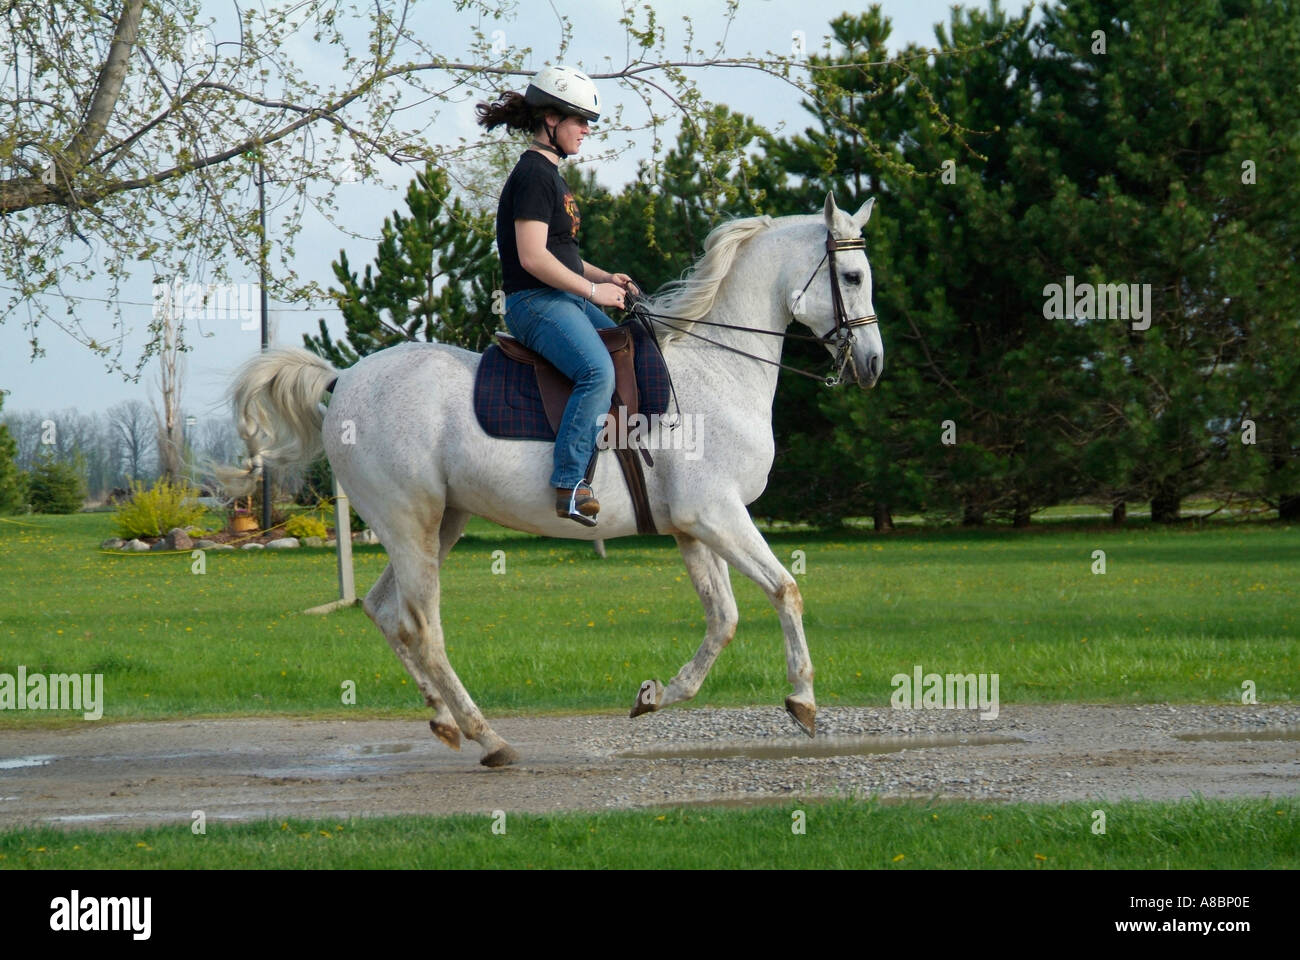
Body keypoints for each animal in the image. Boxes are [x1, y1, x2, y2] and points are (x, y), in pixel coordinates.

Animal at [220, 192, 883, 767]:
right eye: (852, 277)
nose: (873, 365)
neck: (717, 368)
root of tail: (345, 379)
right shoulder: (716, 514)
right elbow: (784, 590)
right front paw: (802, 701)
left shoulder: (693, 528)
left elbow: (723, 620)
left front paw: (654, 696)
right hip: (411, 522)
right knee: (421, 628)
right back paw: (488, 738)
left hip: (440, 523)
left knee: (386, 614)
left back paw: (444, 720)